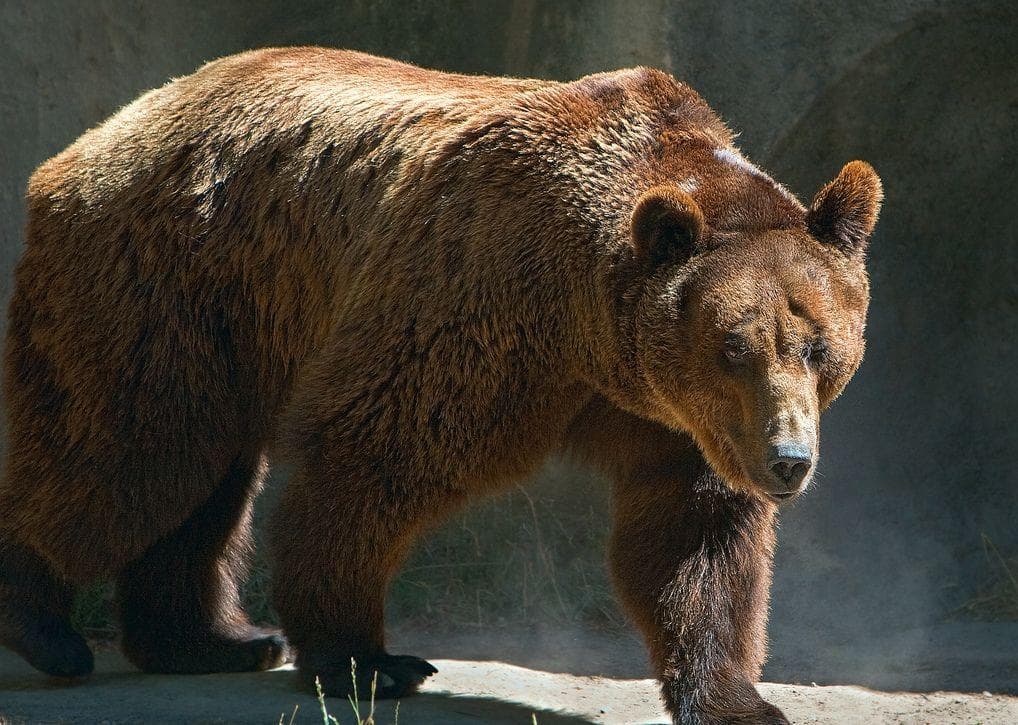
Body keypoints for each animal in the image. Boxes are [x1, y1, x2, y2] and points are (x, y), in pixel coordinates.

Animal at [0, 47, 881, 724]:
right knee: (126, 458)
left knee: (196, 487)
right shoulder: (478, 303)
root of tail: (98, 137)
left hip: (223, 328)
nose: (789, 460)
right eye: (734, 345)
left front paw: (738, 698)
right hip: (167, 280)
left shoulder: (677, 420)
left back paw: (211, 640)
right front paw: (366, 657)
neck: (589, 330)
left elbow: (693, 540)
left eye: (818, 346)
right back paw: (45, 624)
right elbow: (374, 456)